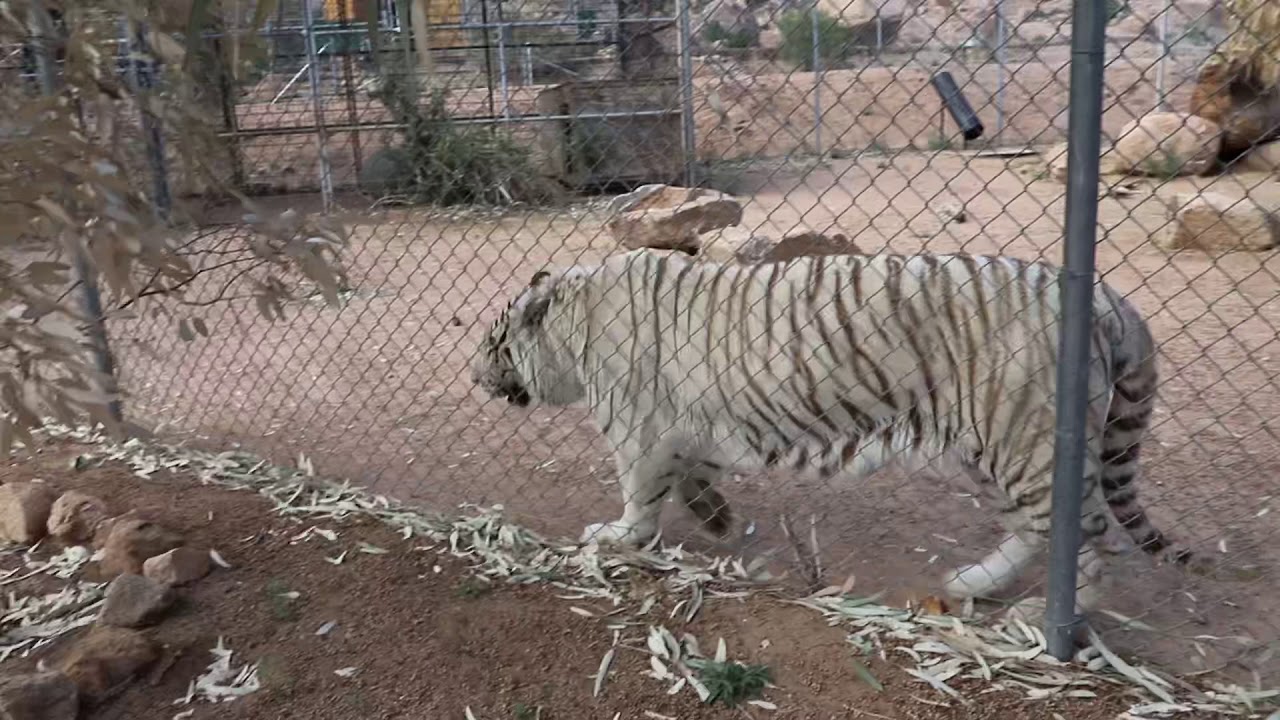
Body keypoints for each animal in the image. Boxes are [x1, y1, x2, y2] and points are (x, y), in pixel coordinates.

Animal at [470, 247, 1196, 620]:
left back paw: (1050, 616)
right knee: (1030, 530)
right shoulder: (686, 424)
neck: (573, 327)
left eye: (493, 343)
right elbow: (695, 478)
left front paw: (618, 536)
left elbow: (638, 498)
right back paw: (972, 583)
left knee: (1090, 536)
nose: (473, 376)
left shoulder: (638, 431)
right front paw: (716, 519)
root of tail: (1107, 297)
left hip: (1028, 442)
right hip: (989, 448)